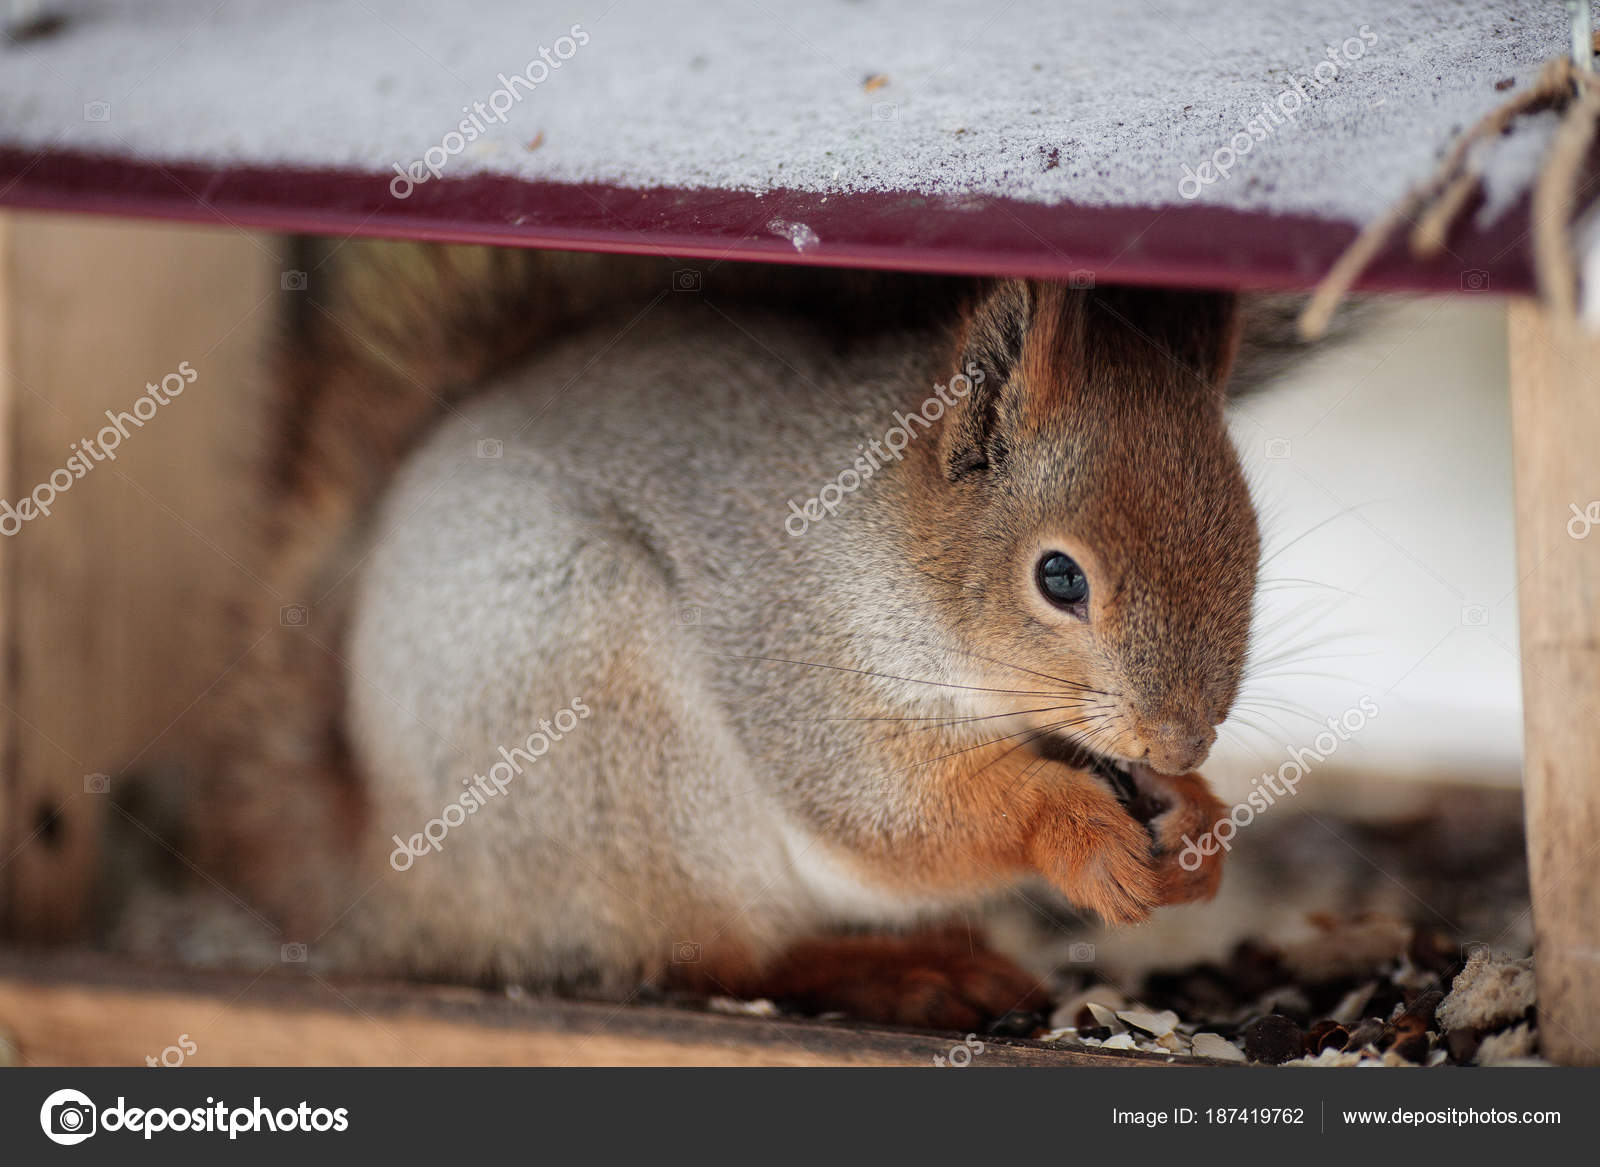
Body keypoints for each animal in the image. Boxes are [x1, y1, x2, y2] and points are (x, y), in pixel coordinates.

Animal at [106, 244, 1280, 1029]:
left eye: (1251, 540)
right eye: (1057, 577)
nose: (1180, 742)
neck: (888, 558)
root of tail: (387, 874)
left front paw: (1200, 827)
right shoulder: (792, 662)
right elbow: (891, 812)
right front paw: (1078, 834)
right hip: (607, 731)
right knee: (712, 960)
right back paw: (894, 973)